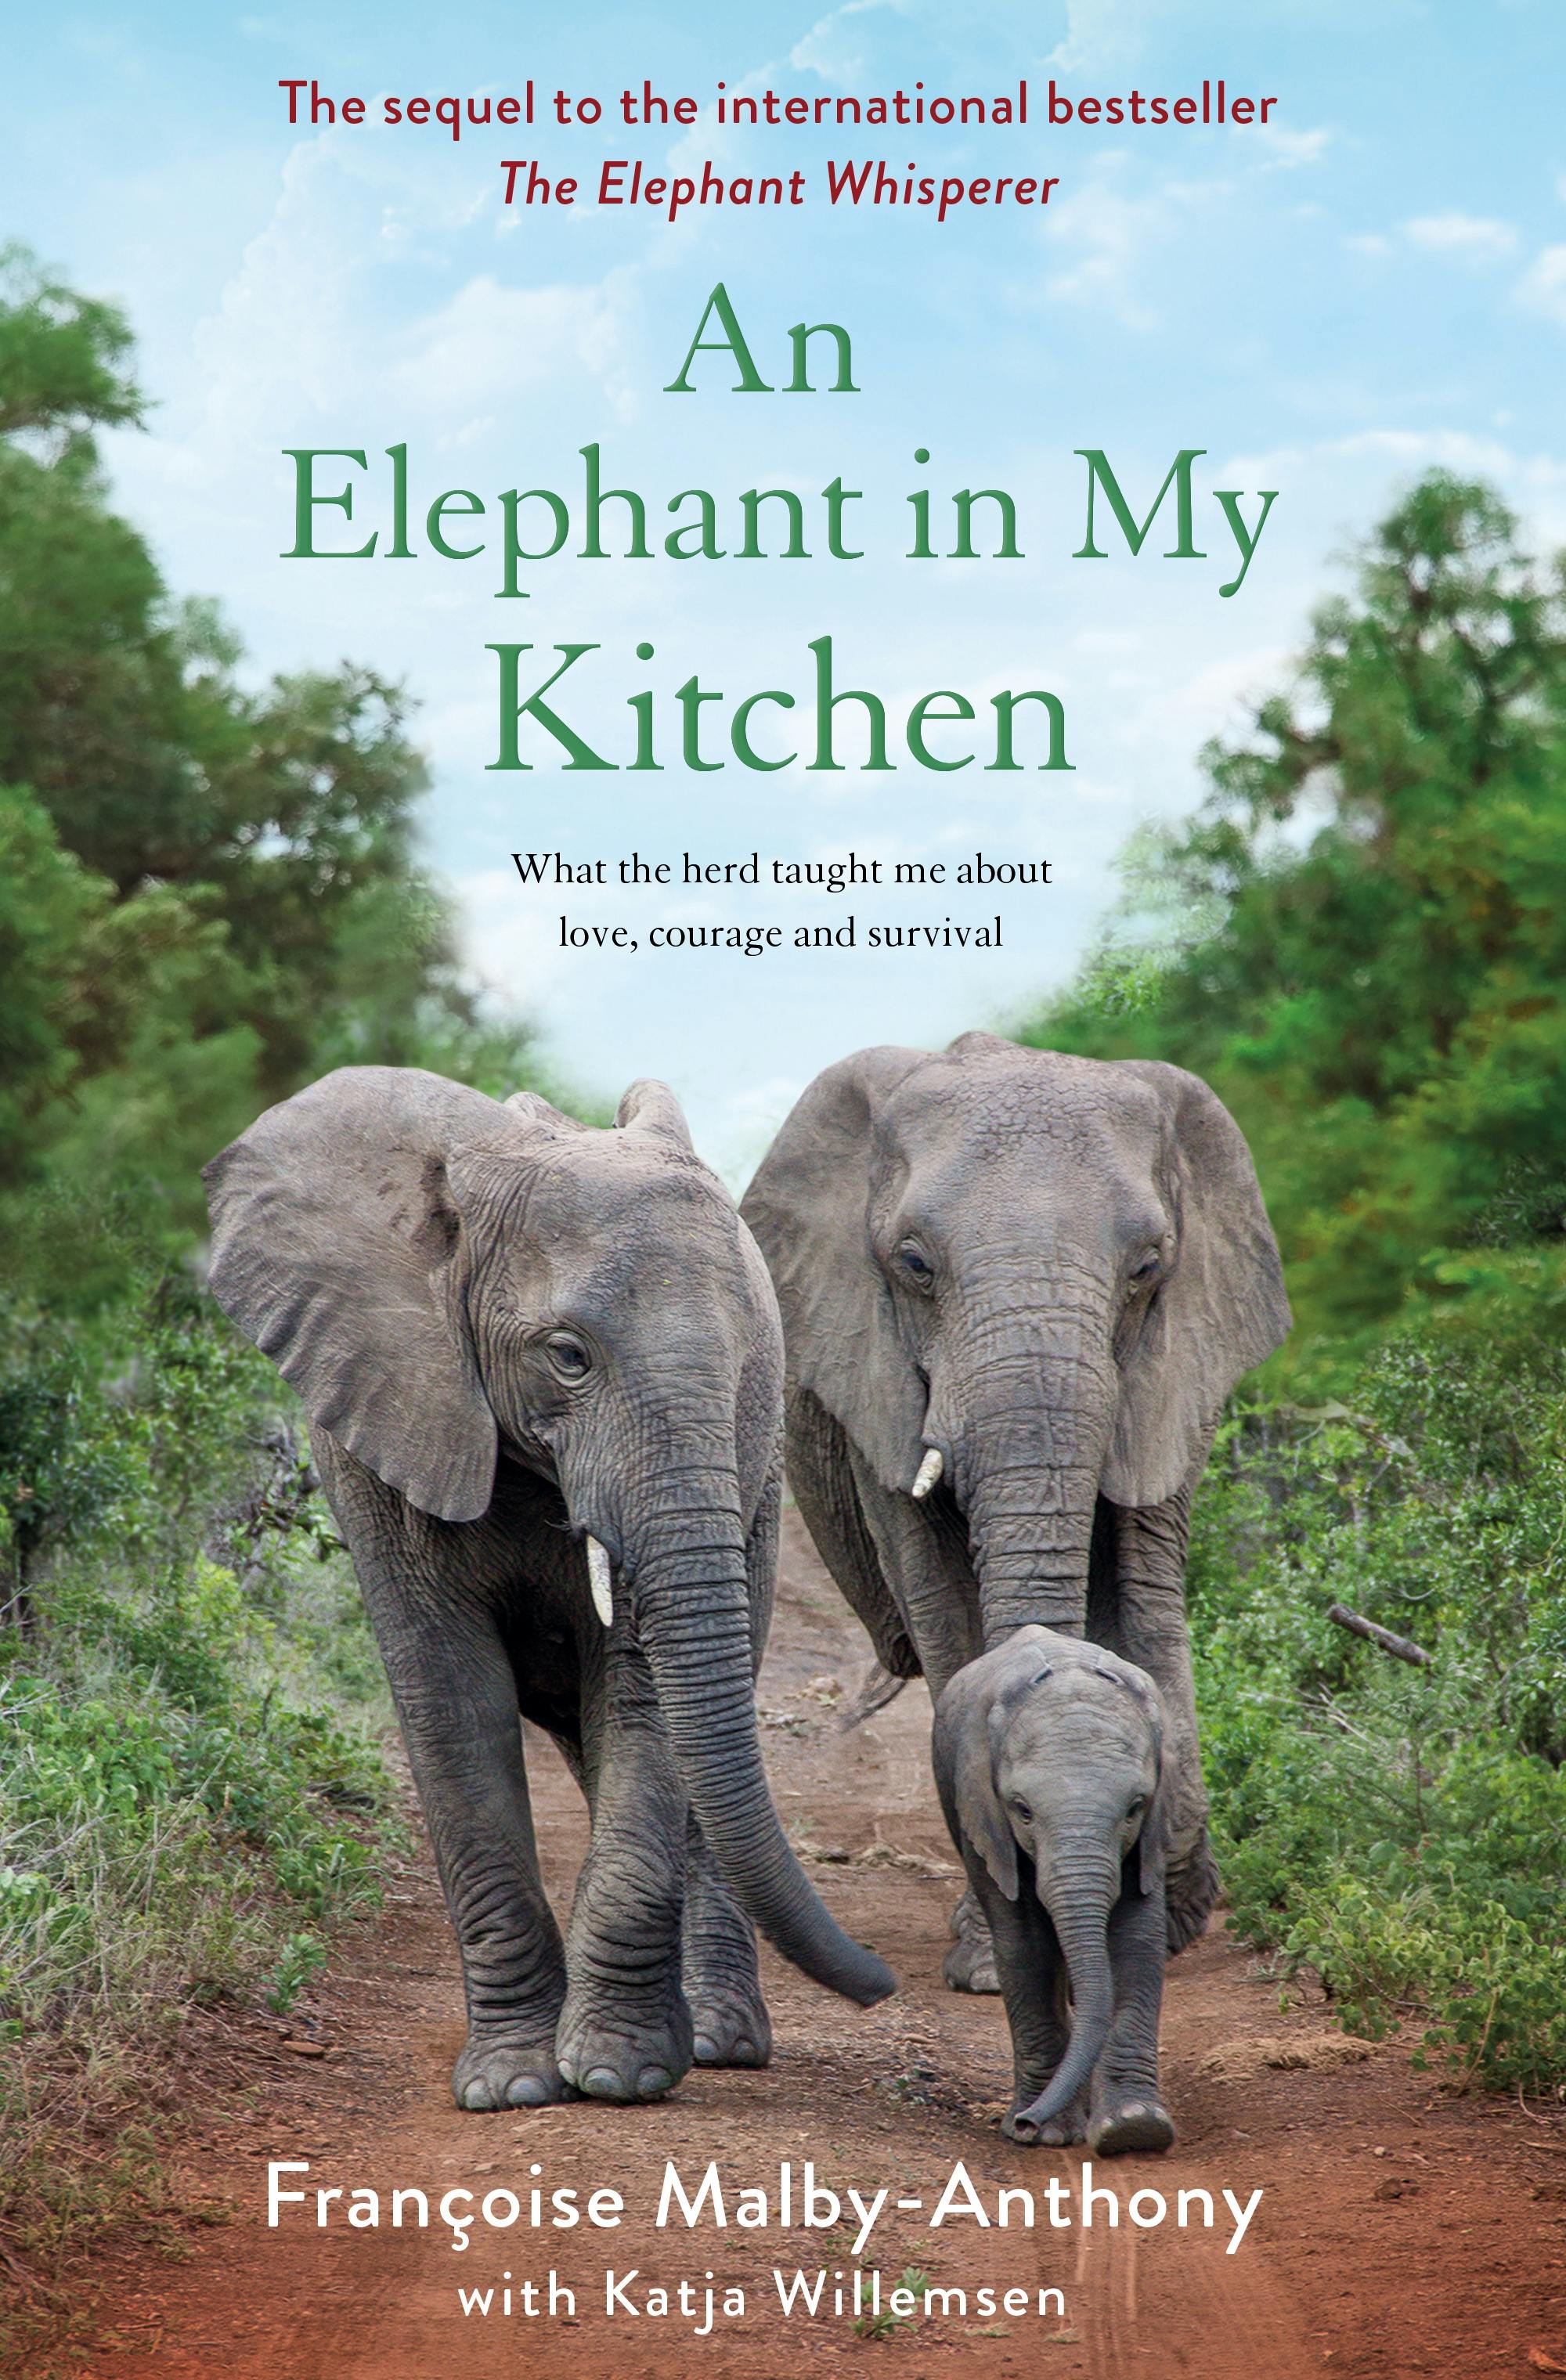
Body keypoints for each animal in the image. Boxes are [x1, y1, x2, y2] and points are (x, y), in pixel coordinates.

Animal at [203, 1065, 893, 2114]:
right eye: (568, 1356)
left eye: (747, 1366)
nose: (883, 1986)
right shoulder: (380, 1418)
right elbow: (451, 1701)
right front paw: (511, 2086)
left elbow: (642, 1695)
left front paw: (616, 2073)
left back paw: (721, 2040)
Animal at [741, 1032, 1289, 1989]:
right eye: (914, 1264)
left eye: (1147, 1267)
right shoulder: (877, 1383)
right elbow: (946, 1609)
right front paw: (993, 1961)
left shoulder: (1173, 1367)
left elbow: (1147, 1600)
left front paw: (1168, 1917)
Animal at [933, 1627, 1174, 2154]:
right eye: (1022, 1810)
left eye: (1135, 1807)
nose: (1025, 2122)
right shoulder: (983, 1813)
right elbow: (1024, 1944)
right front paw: (1048, 2134)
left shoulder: (1152, 1832)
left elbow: (1138, 1940)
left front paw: (1133, 2128)